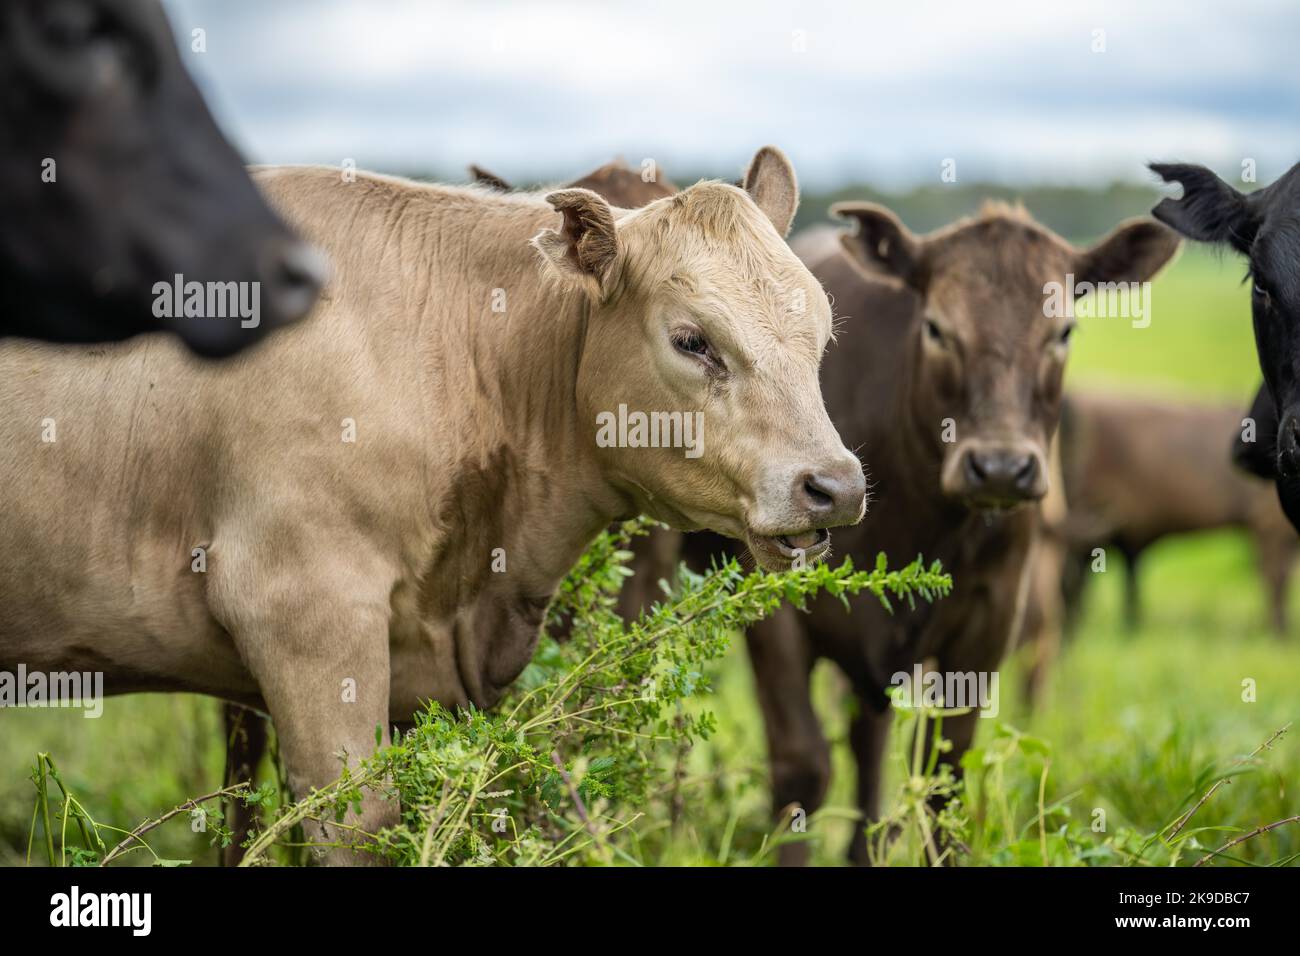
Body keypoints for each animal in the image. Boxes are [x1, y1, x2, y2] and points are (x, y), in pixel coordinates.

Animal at [630, 202, 1180, 864]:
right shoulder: (774, 607)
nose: (1001, 466)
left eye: (1064, 332)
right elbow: (802, 764)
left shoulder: (991, 616)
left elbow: (944, 770)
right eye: (937, 328)